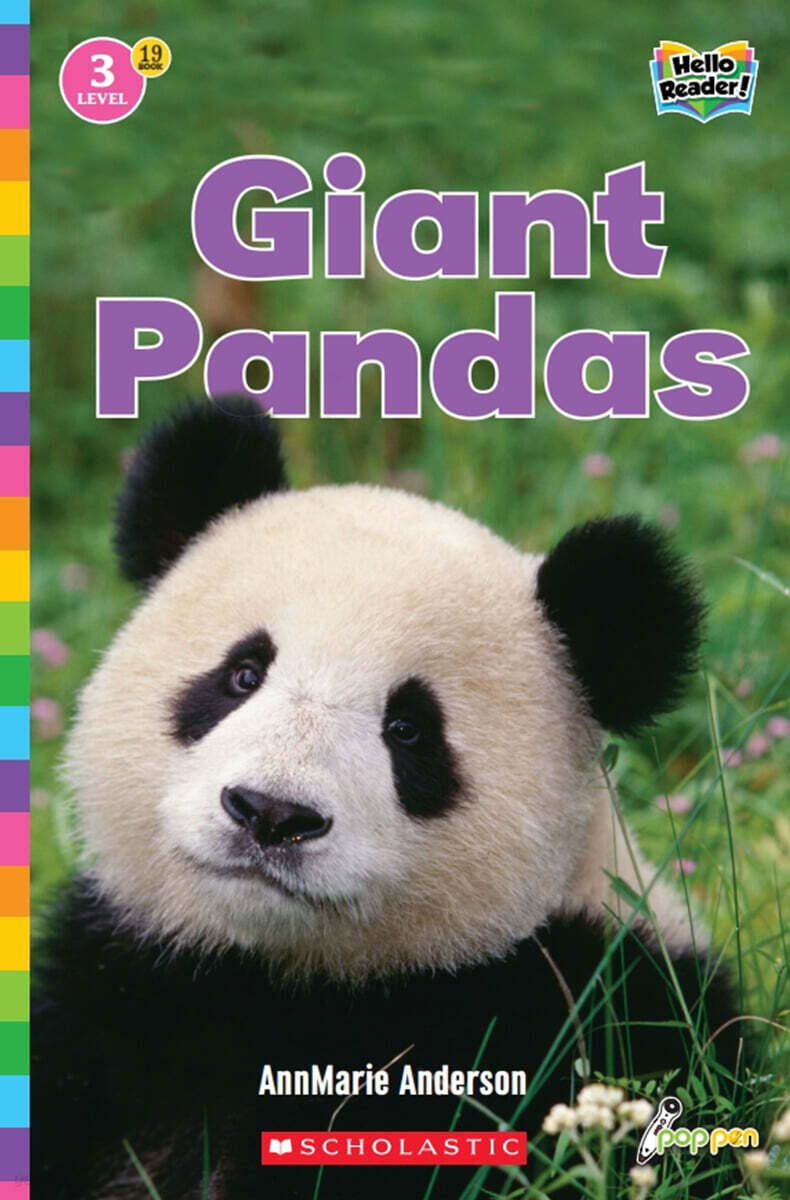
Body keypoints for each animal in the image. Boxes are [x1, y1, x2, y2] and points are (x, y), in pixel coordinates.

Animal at [33, 399, 742, 1200]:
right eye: (243, 674)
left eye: (408, 729)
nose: (271, 813)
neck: (279, 979)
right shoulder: (119, 1005)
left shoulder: (566, 1015)